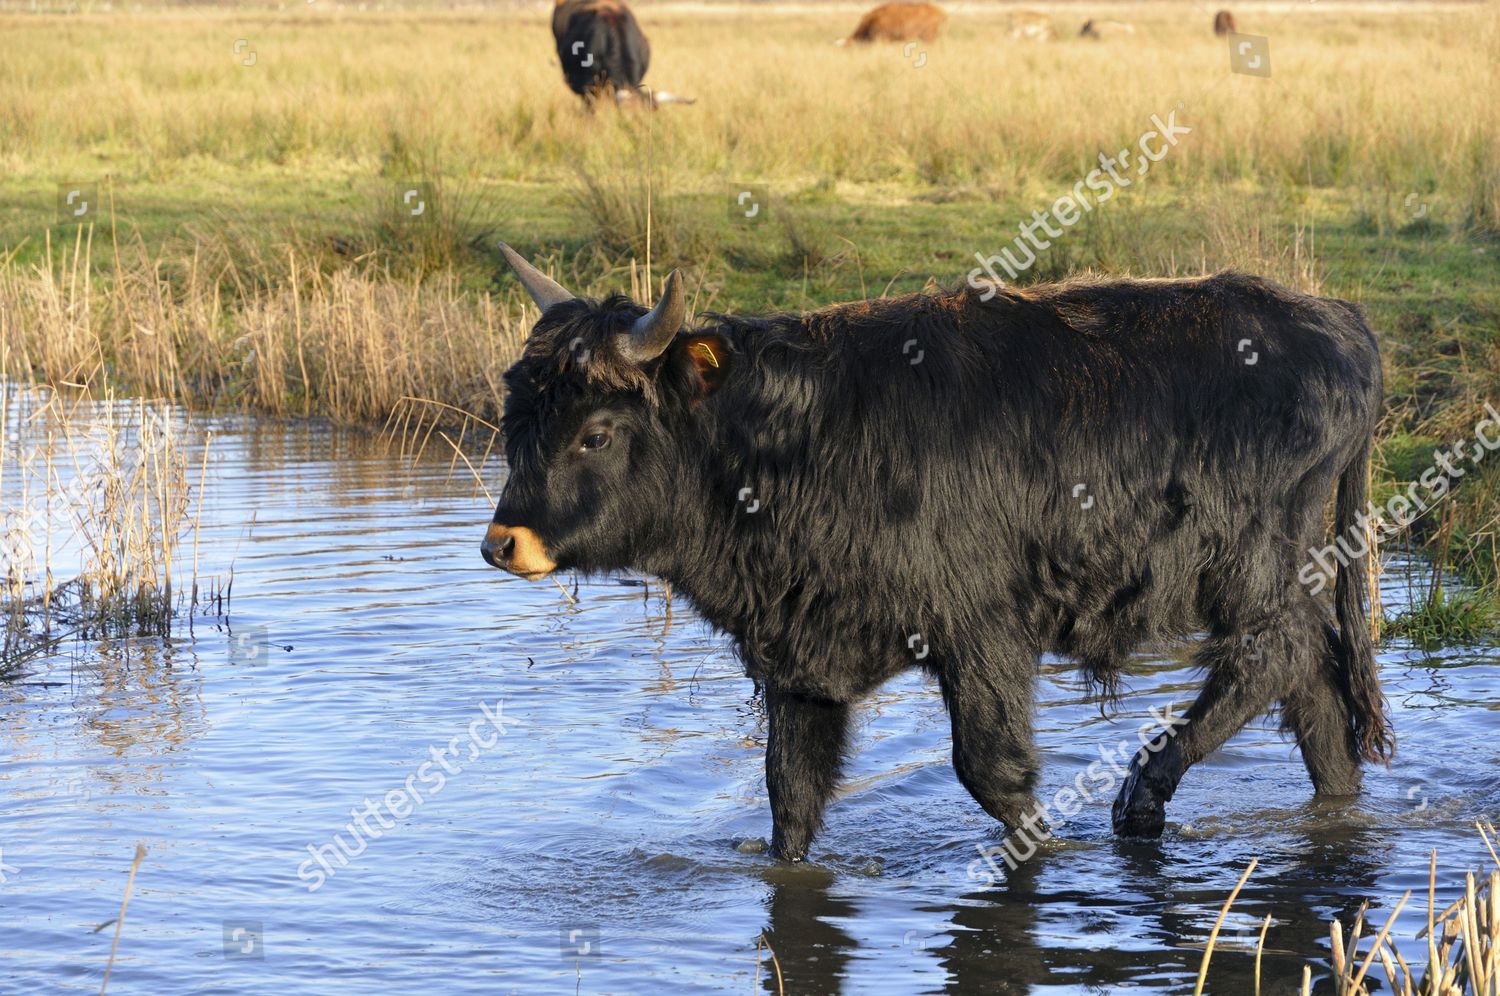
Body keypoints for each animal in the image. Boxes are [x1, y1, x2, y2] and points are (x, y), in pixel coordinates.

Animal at [484, 245, 1393, 862]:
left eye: (597, 432)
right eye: (516, 418)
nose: (501, 543)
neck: (794, 445)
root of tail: (1337, 318)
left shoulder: (984, 634)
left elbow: (993, 772)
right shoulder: (800, 667)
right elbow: (790, 798)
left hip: (1251, 566)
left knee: (1272, 656)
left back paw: (1144, 798)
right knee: (1312, 682)